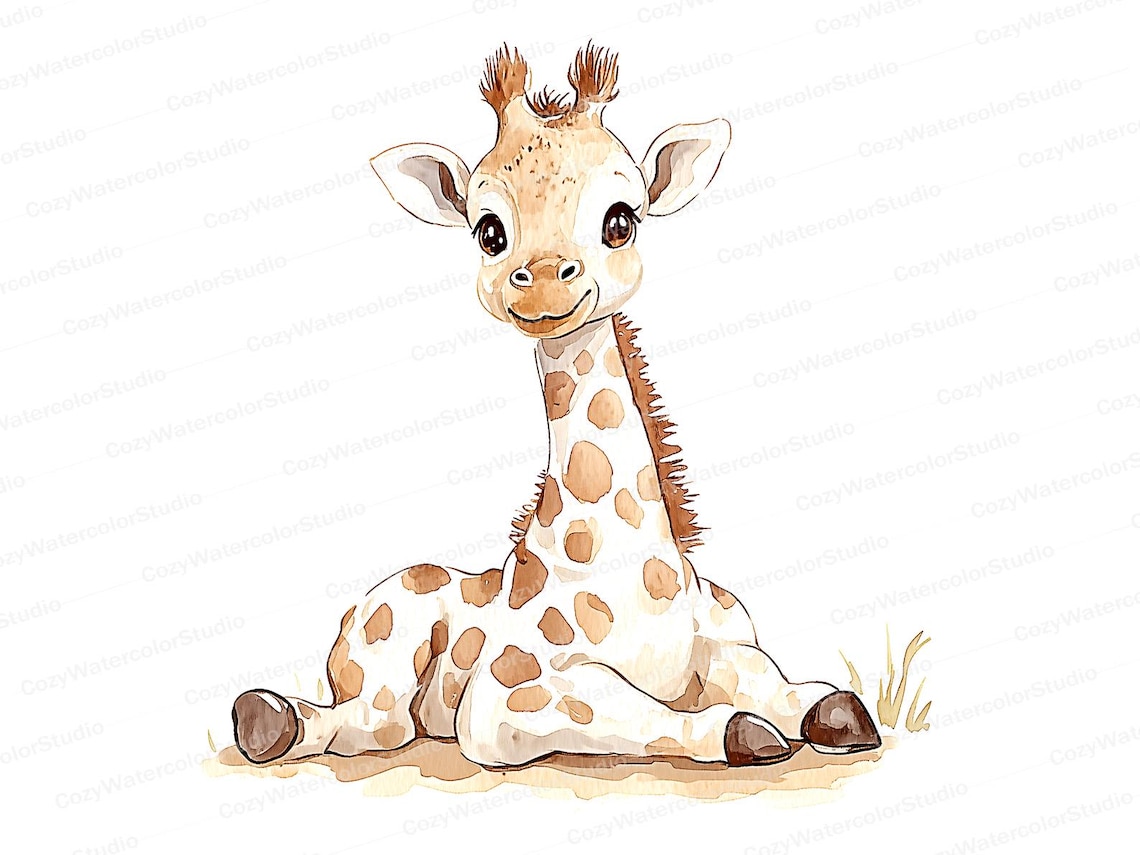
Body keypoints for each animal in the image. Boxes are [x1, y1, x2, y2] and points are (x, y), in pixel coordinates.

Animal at [231, 44, 881, 769]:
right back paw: (266, 716)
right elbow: (637, 713)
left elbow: (788, 684)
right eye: (488, 231)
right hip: (388, 654)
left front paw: (838, 714)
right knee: (372, 724)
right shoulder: (502, 702)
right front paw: (742, 732)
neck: (637, 577)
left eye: (621, 219)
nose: (543, 283)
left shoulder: (727, 644)